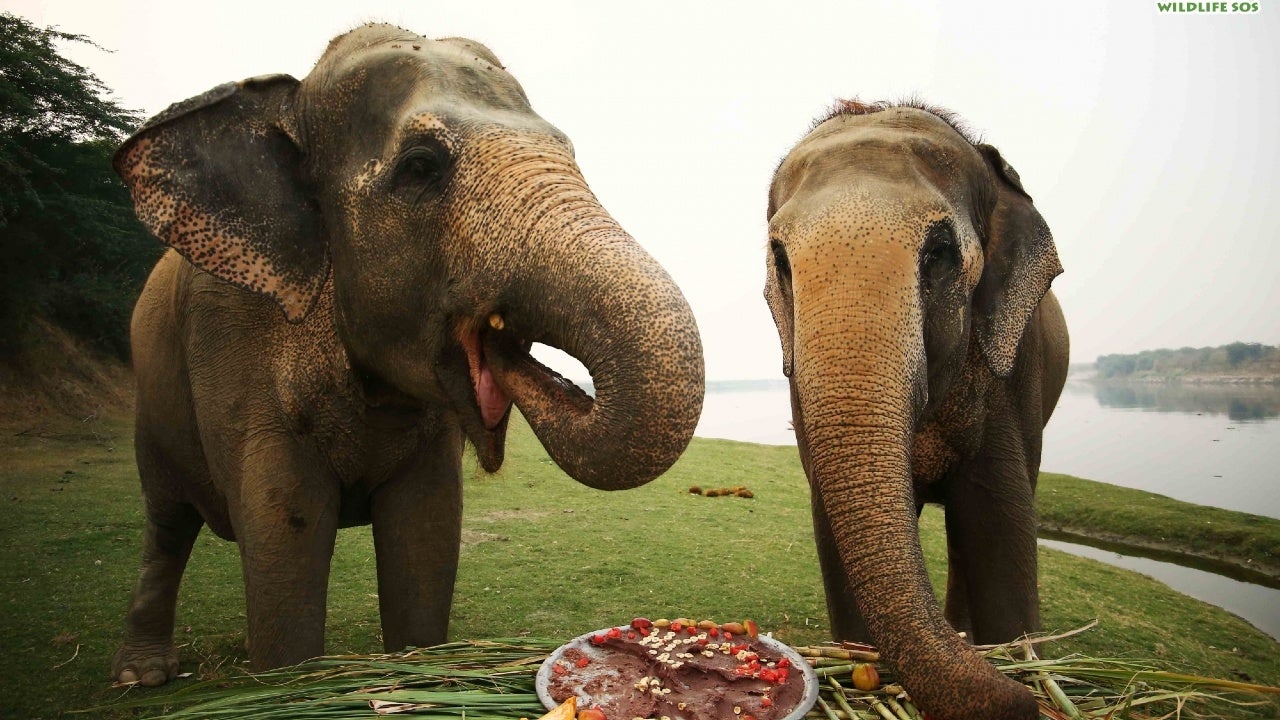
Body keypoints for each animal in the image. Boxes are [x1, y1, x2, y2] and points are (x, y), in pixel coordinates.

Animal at [111, 23, 704, 686]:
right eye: (421, 166)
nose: (561, 382)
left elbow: (426, 531)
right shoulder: (232, 334)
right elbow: (283, 532)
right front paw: (290, 686)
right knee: (165, 521)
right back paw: (140, 675)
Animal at [764, 101, 1068, 720]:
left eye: (940, 252)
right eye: (781, 259)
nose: (1028, 702)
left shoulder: (1011, 372)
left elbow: (998, 520)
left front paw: (1021, 661)